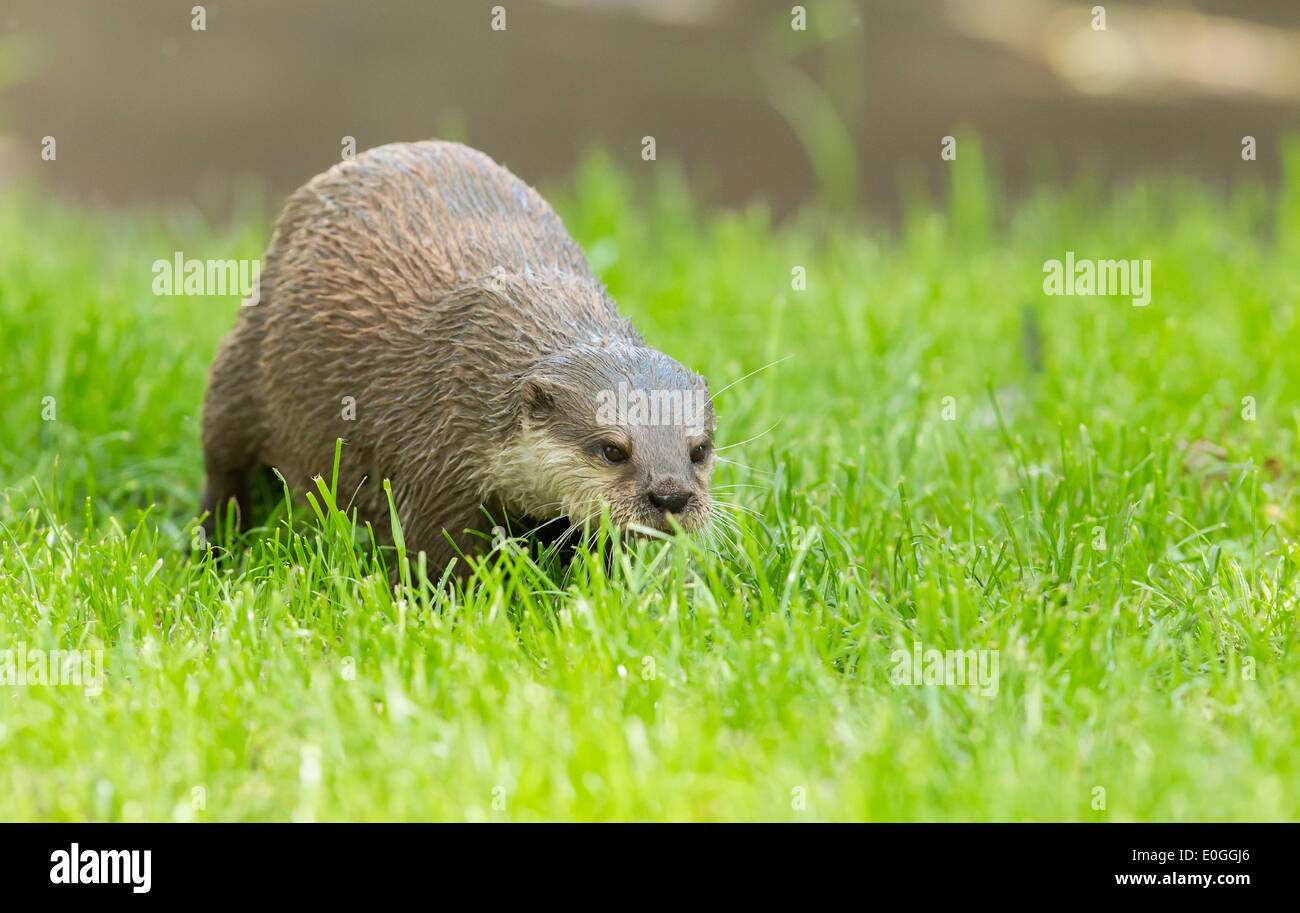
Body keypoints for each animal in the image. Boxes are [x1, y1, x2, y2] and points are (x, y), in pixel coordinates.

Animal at [200, 140, 716, 575]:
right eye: (612, 449)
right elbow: (437, 555)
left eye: (699, 450)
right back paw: (214, 544)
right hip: (241, 369)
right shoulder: (434, 459)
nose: (671, 495)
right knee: (222, 464)